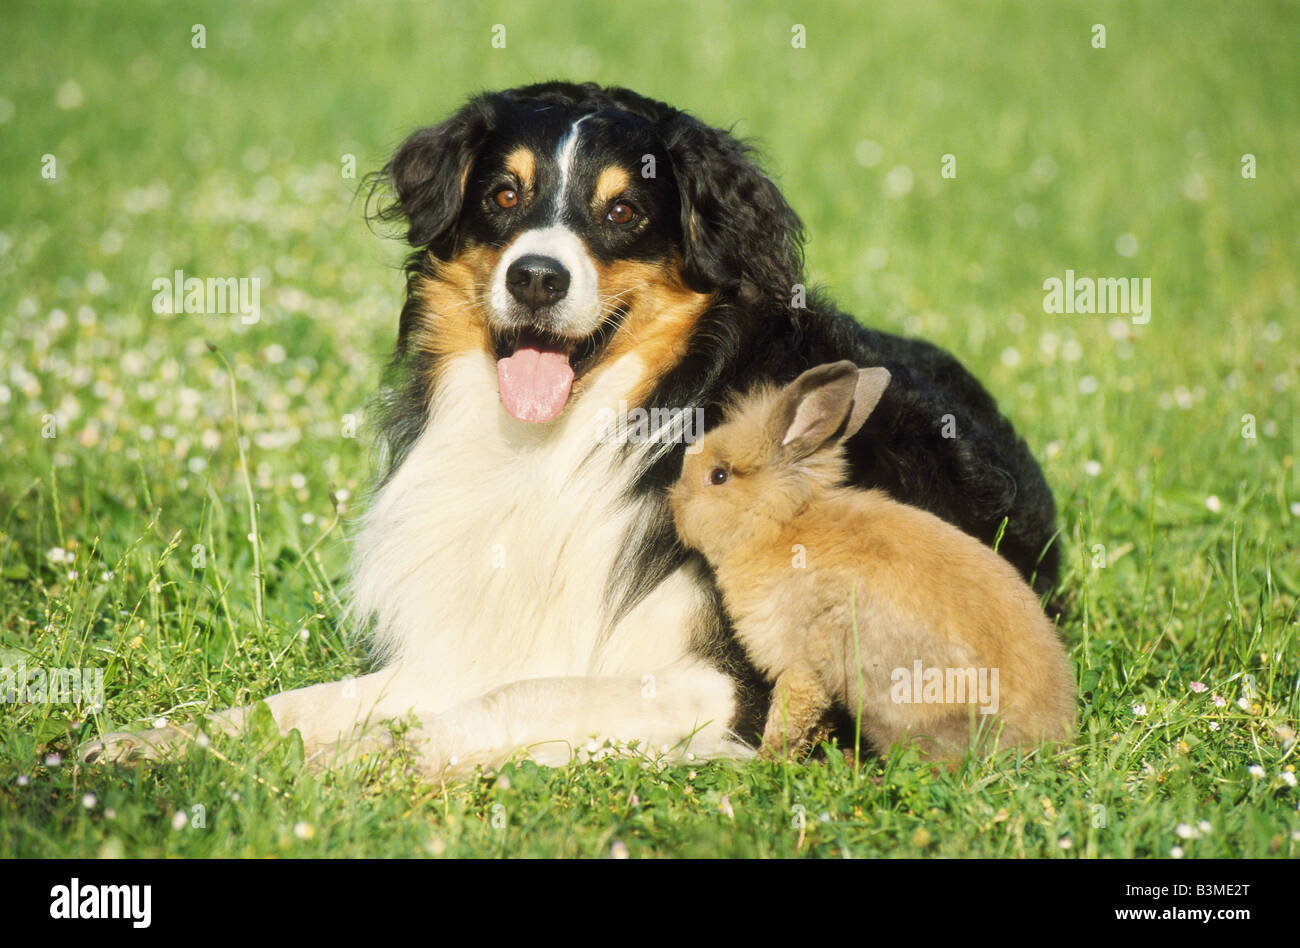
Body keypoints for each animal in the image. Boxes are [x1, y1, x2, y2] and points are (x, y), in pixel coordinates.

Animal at [669, 360, 1076, 763]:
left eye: (718, 475)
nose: (674, 504)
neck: (779, 524)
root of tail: (1046, 734)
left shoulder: (802, 665)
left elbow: (790, 714)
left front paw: (768, 760)